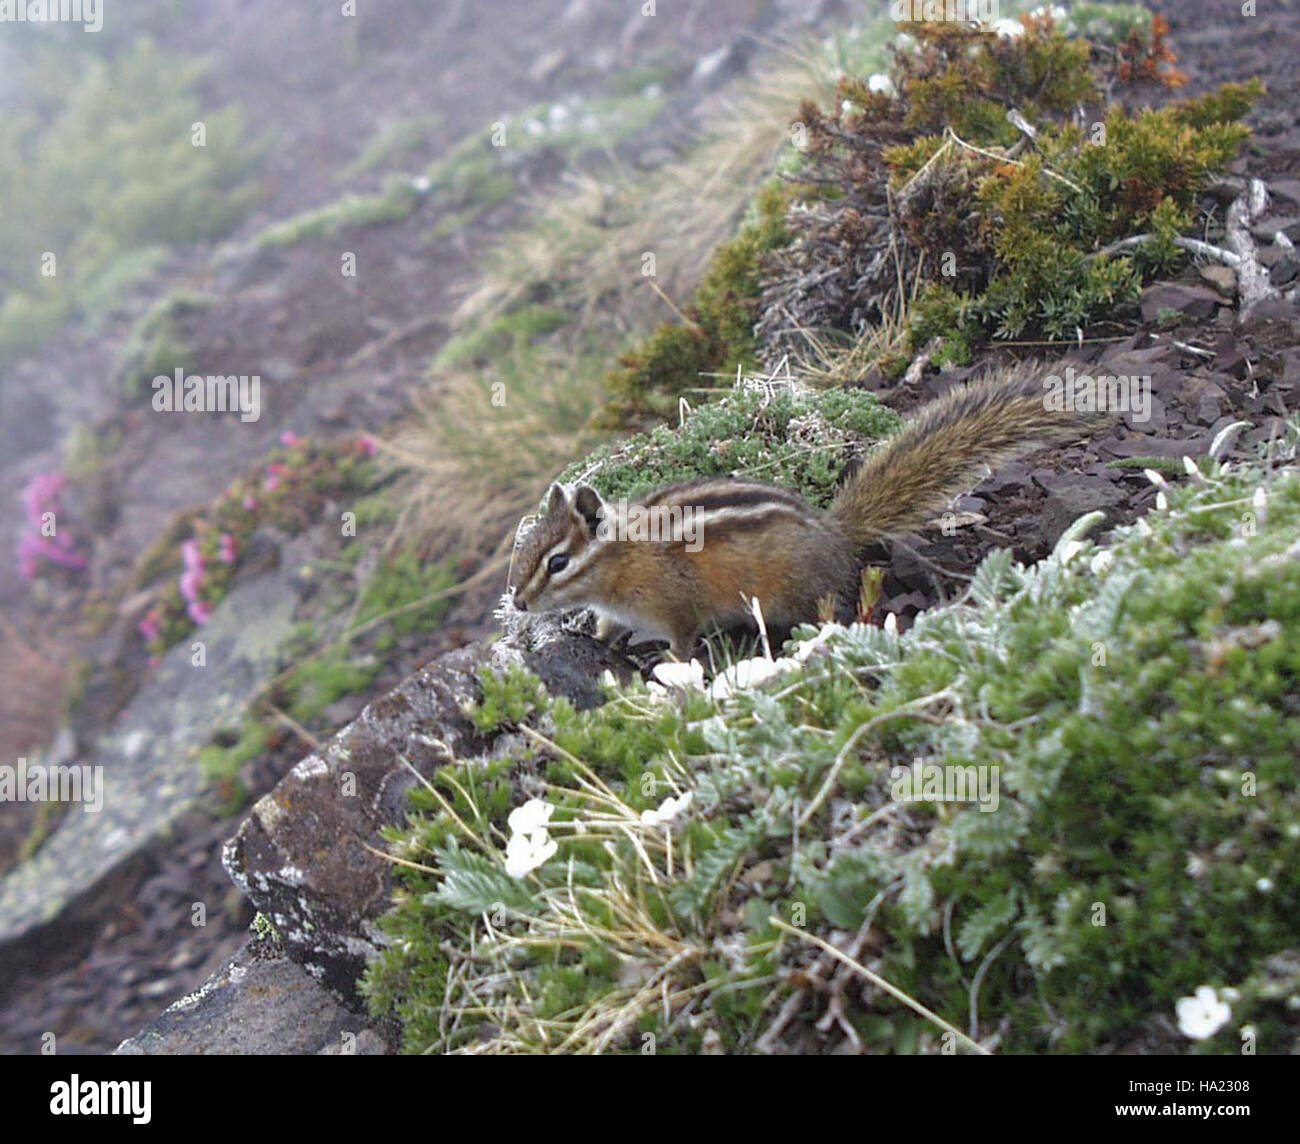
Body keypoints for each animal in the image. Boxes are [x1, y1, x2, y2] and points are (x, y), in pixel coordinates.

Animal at [510, 366, 1105, 660]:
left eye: (557, 563)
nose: (517, 602)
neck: (621, 561)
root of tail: (835, 536)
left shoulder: (675, 607)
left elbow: (681, 644)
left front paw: (666, 666)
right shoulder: (617, 610)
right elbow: (607, 628)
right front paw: (592, 641)